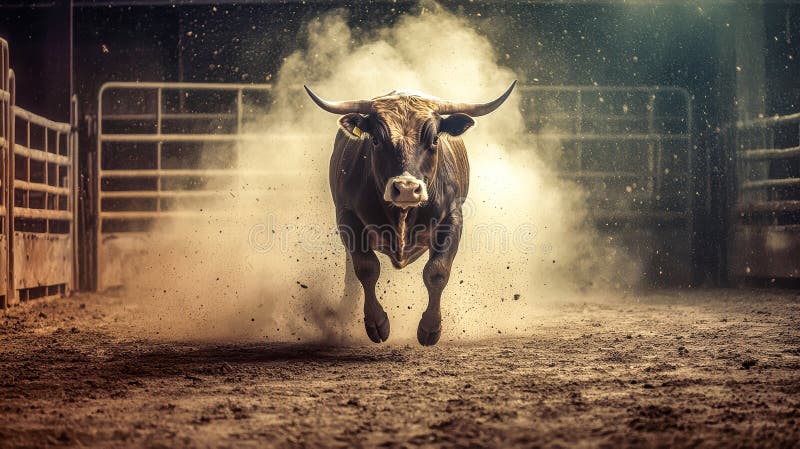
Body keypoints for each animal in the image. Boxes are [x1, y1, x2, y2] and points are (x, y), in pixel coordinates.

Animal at [304, 82, 516, 346]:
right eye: (376, 139)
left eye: (434, 139)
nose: (406, 188)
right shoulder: (348, 219)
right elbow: (366, 268)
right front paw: (377, 323)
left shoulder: (452, 219)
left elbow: (437, 271)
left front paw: (430, 327)